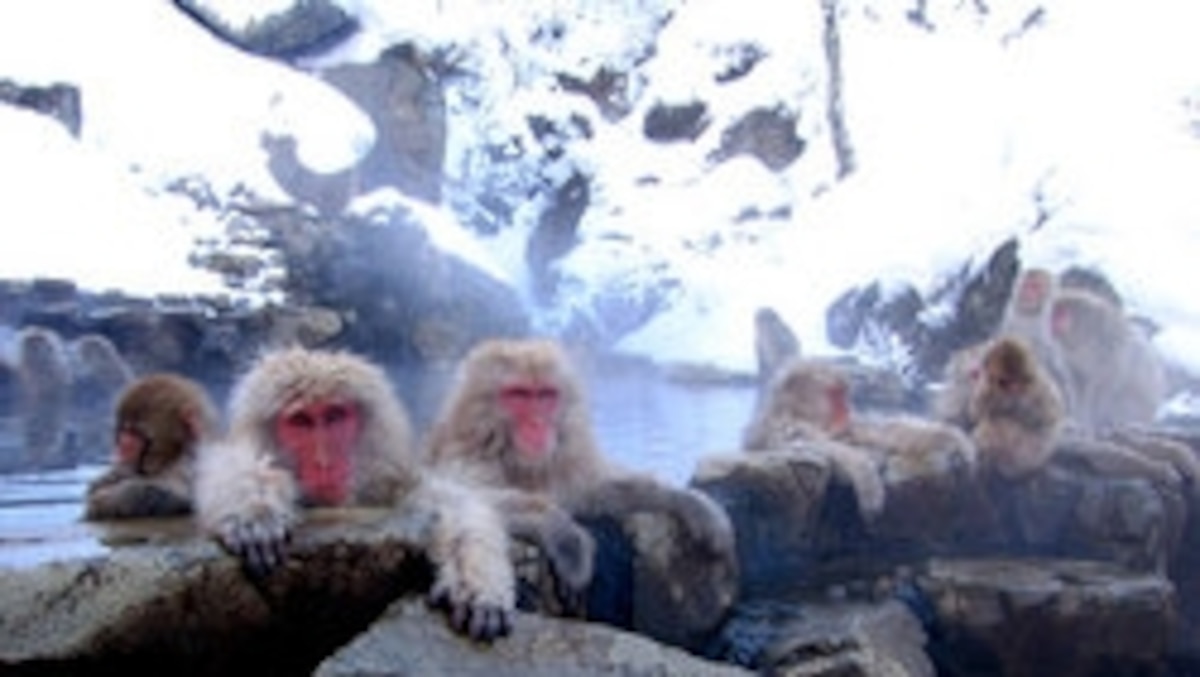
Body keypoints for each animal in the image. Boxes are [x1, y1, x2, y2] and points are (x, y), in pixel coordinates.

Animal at [84, 373, 219, 520]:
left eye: (135, 432)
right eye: (125, 430)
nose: (123, 445)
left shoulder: (193, 460)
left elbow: (180, 495)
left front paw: (106, 500)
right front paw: (105, 481)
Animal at [194, 347, 514, 641]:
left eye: (335, 416)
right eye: (301, 421)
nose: (324, 463)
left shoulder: (395, 487)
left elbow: (456, 504)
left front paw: (475, 581)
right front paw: (254, 508)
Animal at [424, 338, 735, 600]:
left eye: (545, 396)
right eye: (519, 395)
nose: (537, 424)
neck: (517, 460)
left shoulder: (561, 463)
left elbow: (591, 493)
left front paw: (687, 501)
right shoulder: (466, 458)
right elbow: (457, 500)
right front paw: (564, 534)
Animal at [965, 337, 1066, 479]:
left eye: (1005, 381)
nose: (980, 374)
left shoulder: (1033, 391)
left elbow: (1049, 417)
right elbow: (976, 412)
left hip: (1022, 458)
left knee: (999, 425)